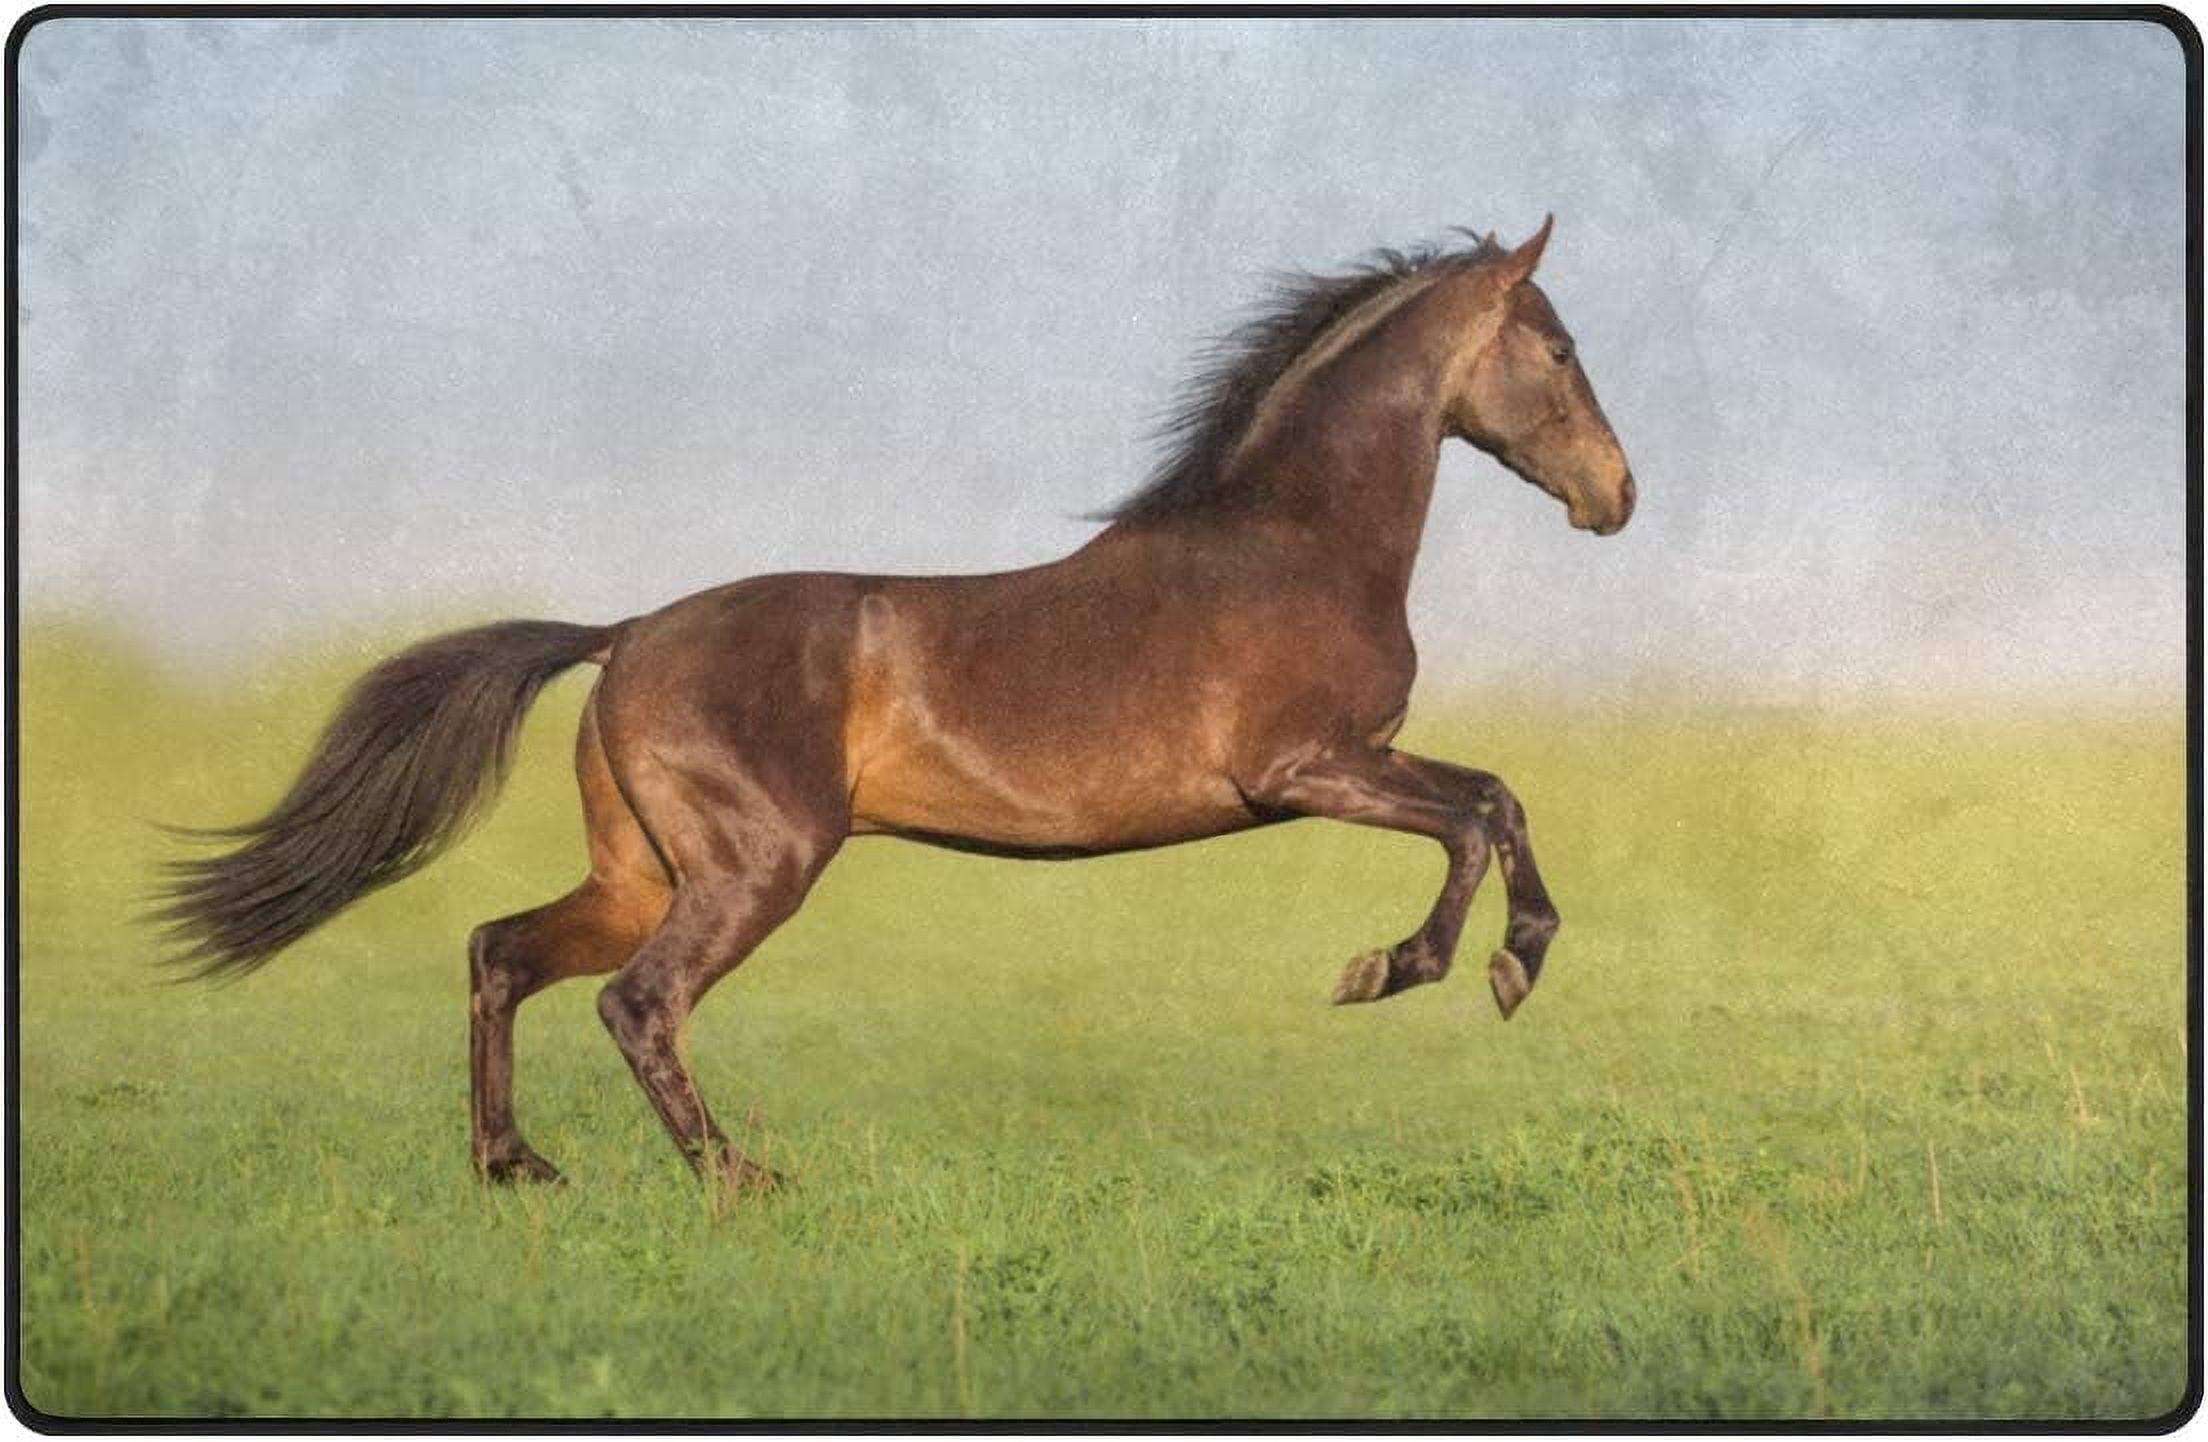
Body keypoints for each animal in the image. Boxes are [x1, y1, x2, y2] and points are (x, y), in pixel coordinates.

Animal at [159, 217, 1635, 1190]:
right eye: (1560, 348)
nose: (1616, 497)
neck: (1293, 543)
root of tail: (625, 637)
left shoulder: (1338, 765)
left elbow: (1496, 801)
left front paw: (1501, 957)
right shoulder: (1302, 766)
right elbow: (1477, 810)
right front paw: (1417, 968)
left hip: (646, 871)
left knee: (502, 953)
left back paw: (518, 1166)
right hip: (753, 865)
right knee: (637, 1003)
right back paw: (740, 1179)